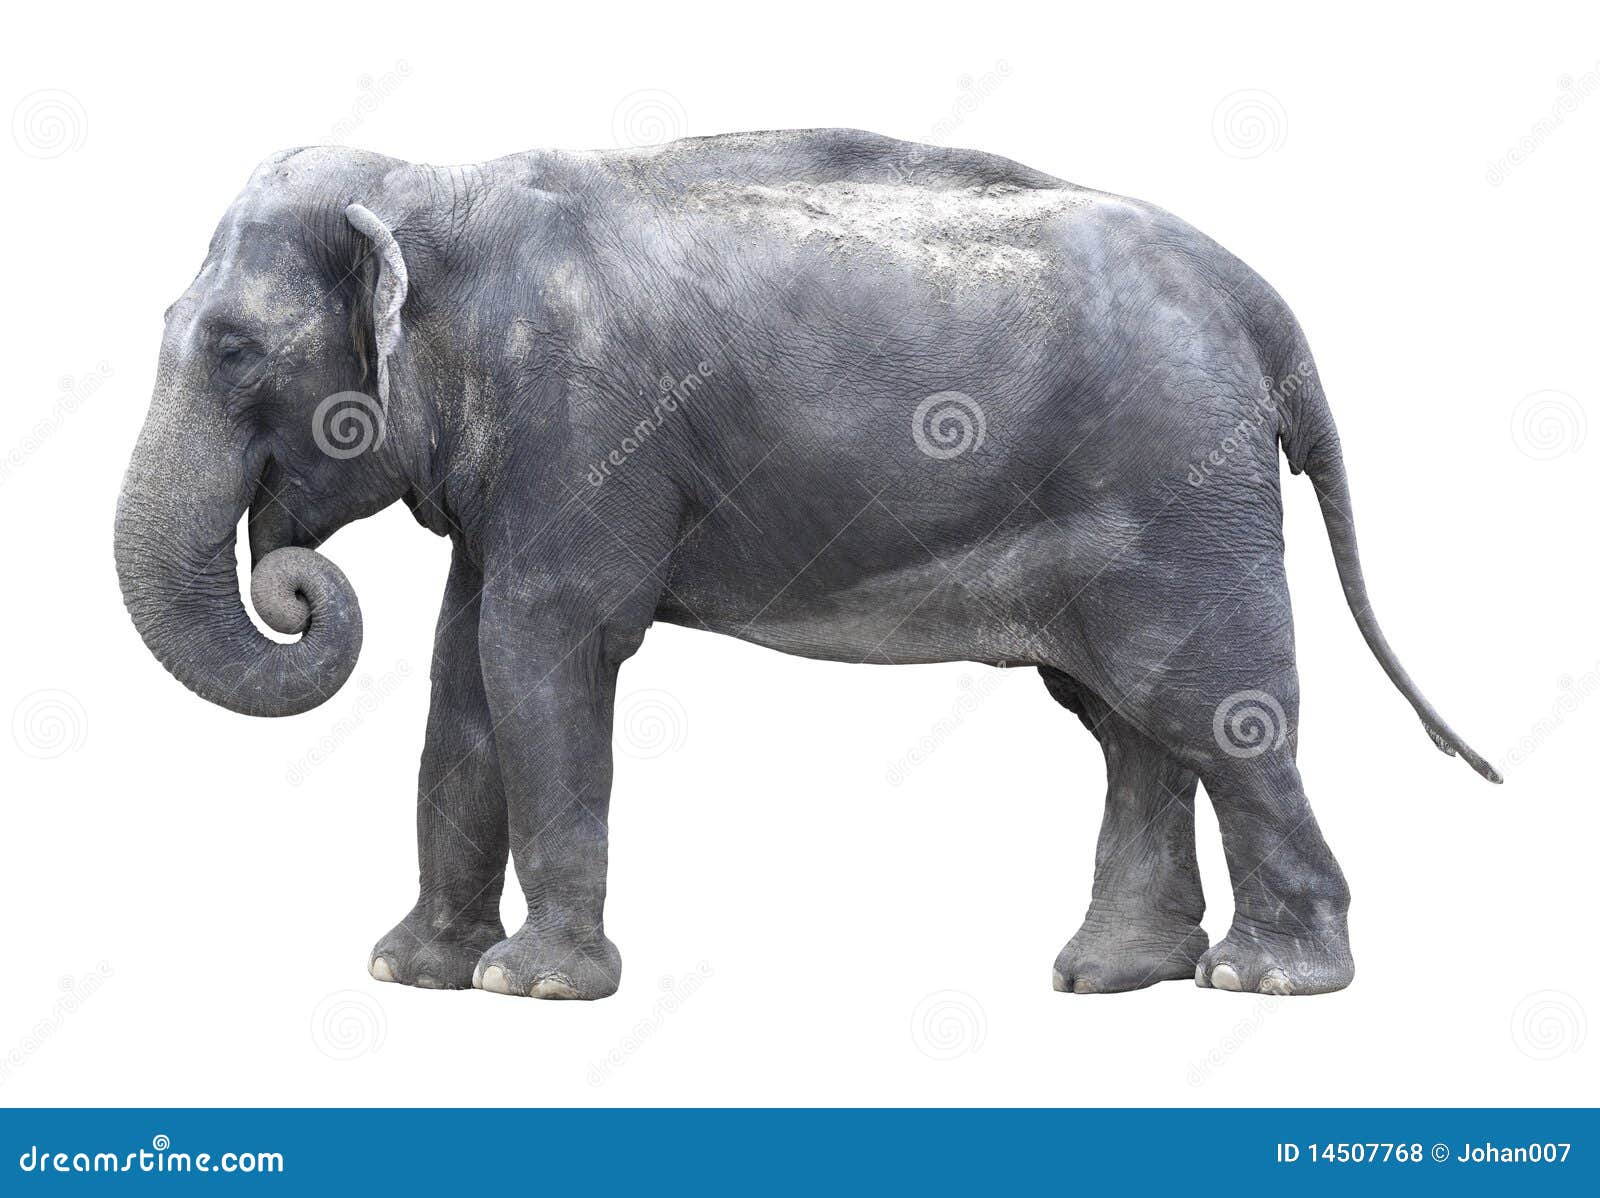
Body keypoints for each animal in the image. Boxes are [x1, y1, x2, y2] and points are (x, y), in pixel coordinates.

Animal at [114, 129, 1498, 1001]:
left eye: (235, 350)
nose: (294, 584)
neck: (436, 186)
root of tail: (1264, 304)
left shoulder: (585, 426)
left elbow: (540, 645)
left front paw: (535, 987)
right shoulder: (518, 476)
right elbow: (464, 670)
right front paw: (411, 972)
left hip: (1180, 484)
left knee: (1207, 705)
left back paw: (1267, 981)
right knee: (1124, 719)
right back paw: (1110, 974)